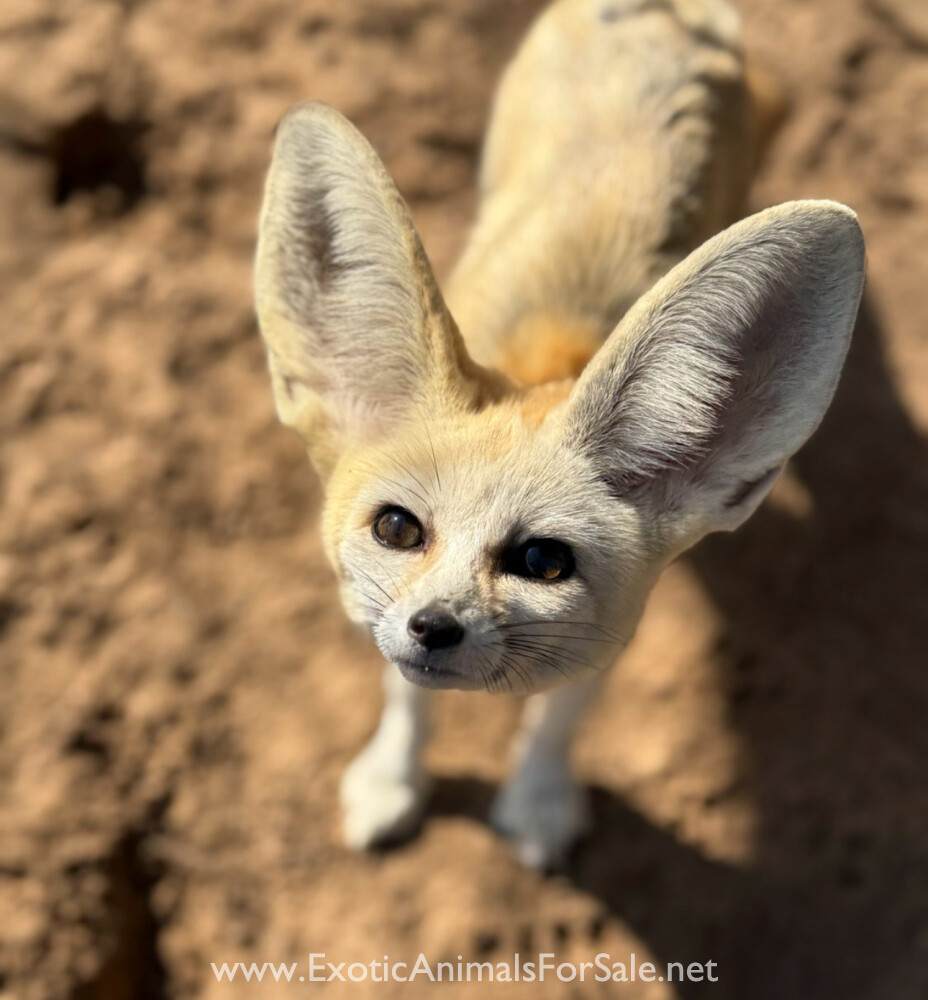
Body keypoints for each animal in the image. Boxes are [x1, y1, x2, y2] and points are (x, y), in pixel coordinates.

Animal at [254, 0, 865, 868]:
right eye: (397, 528)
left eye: (542, 561)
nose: (434, 627)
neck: (551, 358)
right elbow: (406, 696)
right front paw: (392, 778)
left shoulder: (613, 634)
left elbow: (556, 719)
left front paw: (538, 799)